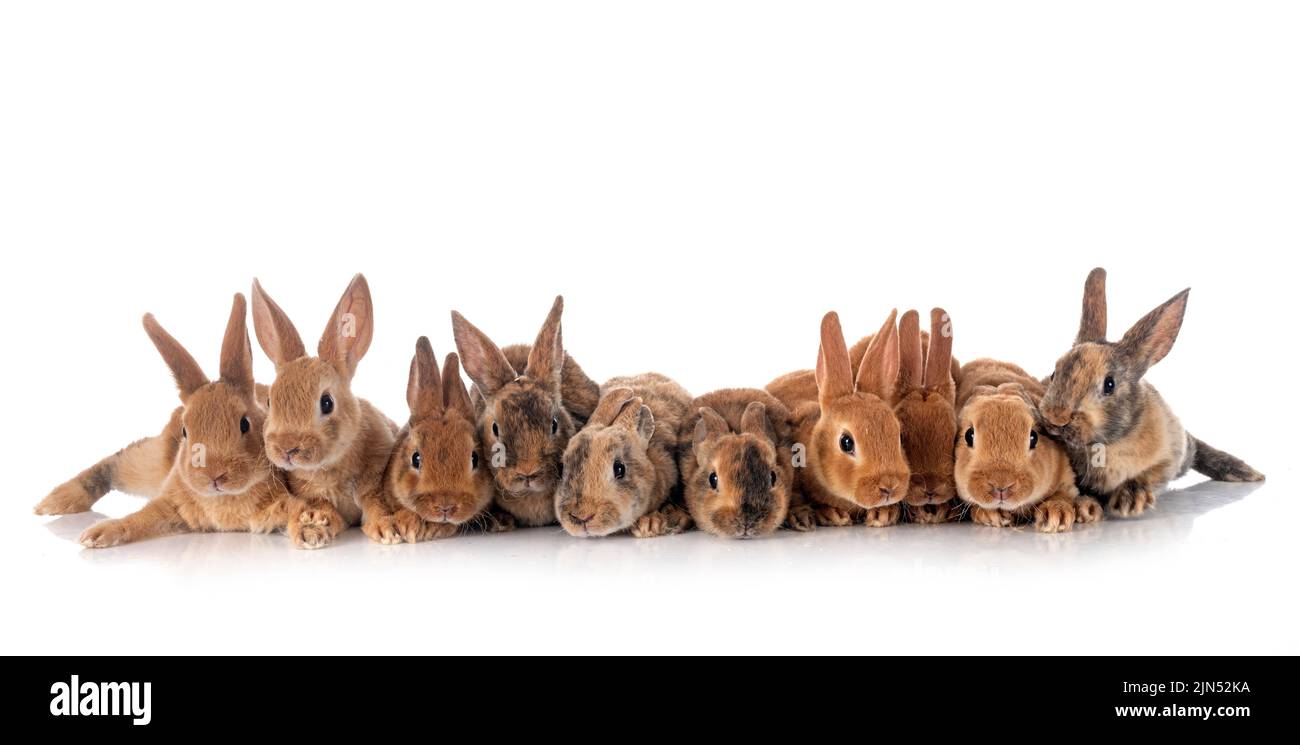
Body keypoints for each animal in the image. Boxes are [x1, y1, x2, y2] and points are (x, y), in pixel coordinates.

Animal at [75, 294, 343, 549]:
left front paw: (312, 531)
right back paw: (66, 505)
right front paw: (99, 534)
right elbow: (139, 518)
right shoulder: (168, 504)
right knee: (111, 464)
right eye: (185, 431)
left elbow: (297, 509)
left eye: (244, 424)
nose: (215, 475)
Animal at [251, 274, 416, 544]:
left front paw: (387, 531)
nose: (287, 449)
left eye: (327, 402)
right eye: (270, 402)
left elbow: (376, 506)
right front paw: (313, 527)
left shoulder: (372, 485)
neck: (330, 466)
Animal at [955, 358, 1104, 532]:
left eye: (1033, 437)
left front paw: (1055, 517)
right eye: (969, 435)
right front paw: (992, 516)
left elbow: (1063, 495)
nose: (1001, 487)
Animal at [1037, 268, 1264, 518]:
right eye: (1054, 373)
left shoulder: (1168, 456)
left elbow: (1152, 474)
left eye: (1109, 384)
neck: (1106, 443)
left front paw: (1130, 500)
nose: (1056, 417)